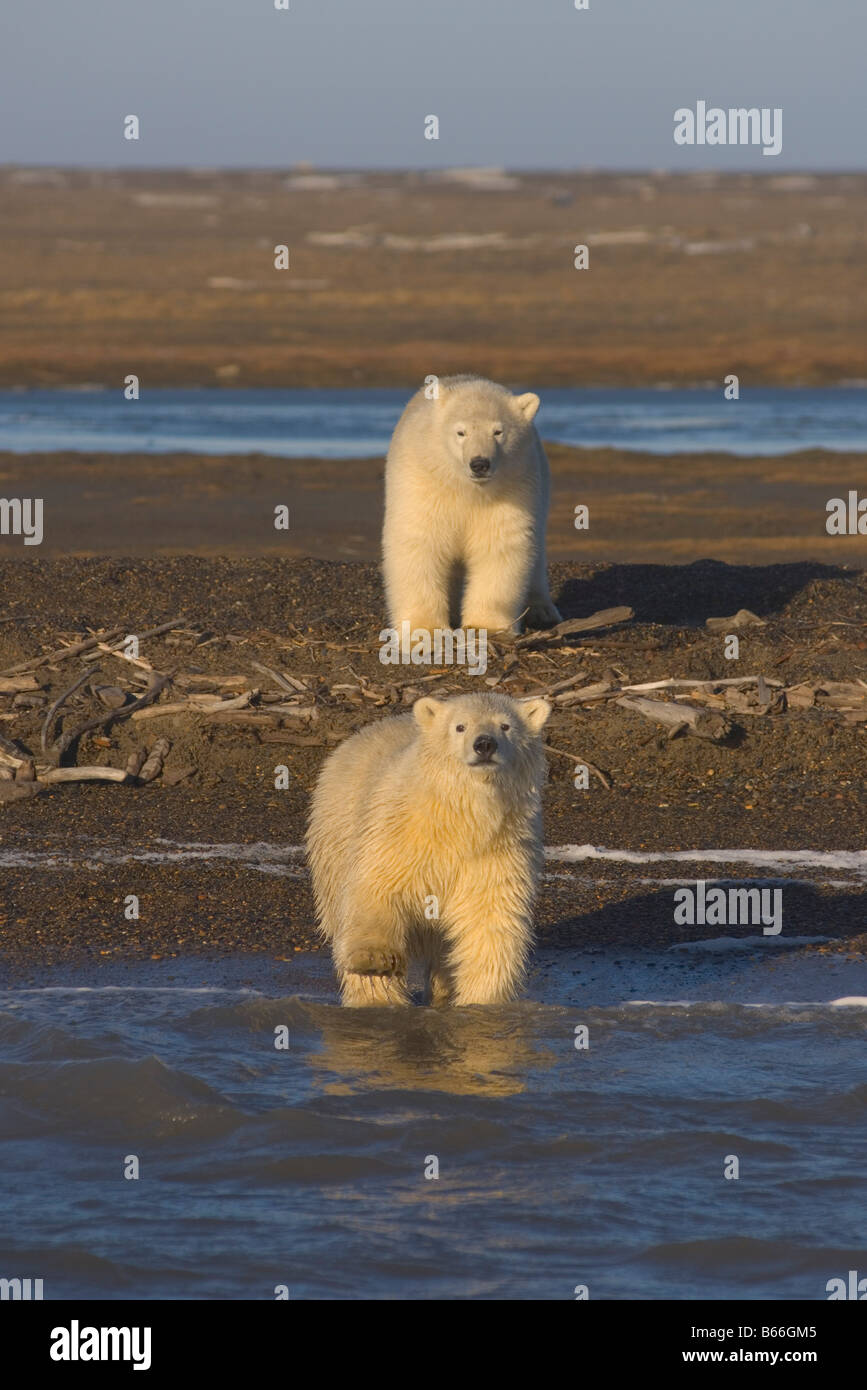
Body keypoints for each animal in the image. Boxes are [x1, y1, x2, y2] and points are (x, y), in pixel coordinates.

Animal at [306, 691, 551, 1007]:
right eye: (460, 726)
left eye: (505, 726)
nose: (484, 744)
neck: (462, 819)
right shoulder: (400, 829)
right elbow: (377, 886)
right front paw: (375, 960)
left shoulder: (498, 848)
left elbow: (489, 918)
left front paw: (482, 998)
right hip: (334, 842)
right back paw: (377, 1000)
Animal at [382, 375, 562, 636]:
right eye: (461, 432)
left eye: (498, 432)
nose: (480, 464)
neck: (467, 489)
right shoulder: (425, 483)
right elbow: (421, 543)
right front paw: (424, 629)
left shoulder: (512, 488)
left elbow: (498, 545)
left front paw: (485, 626)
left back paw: (542, 611)